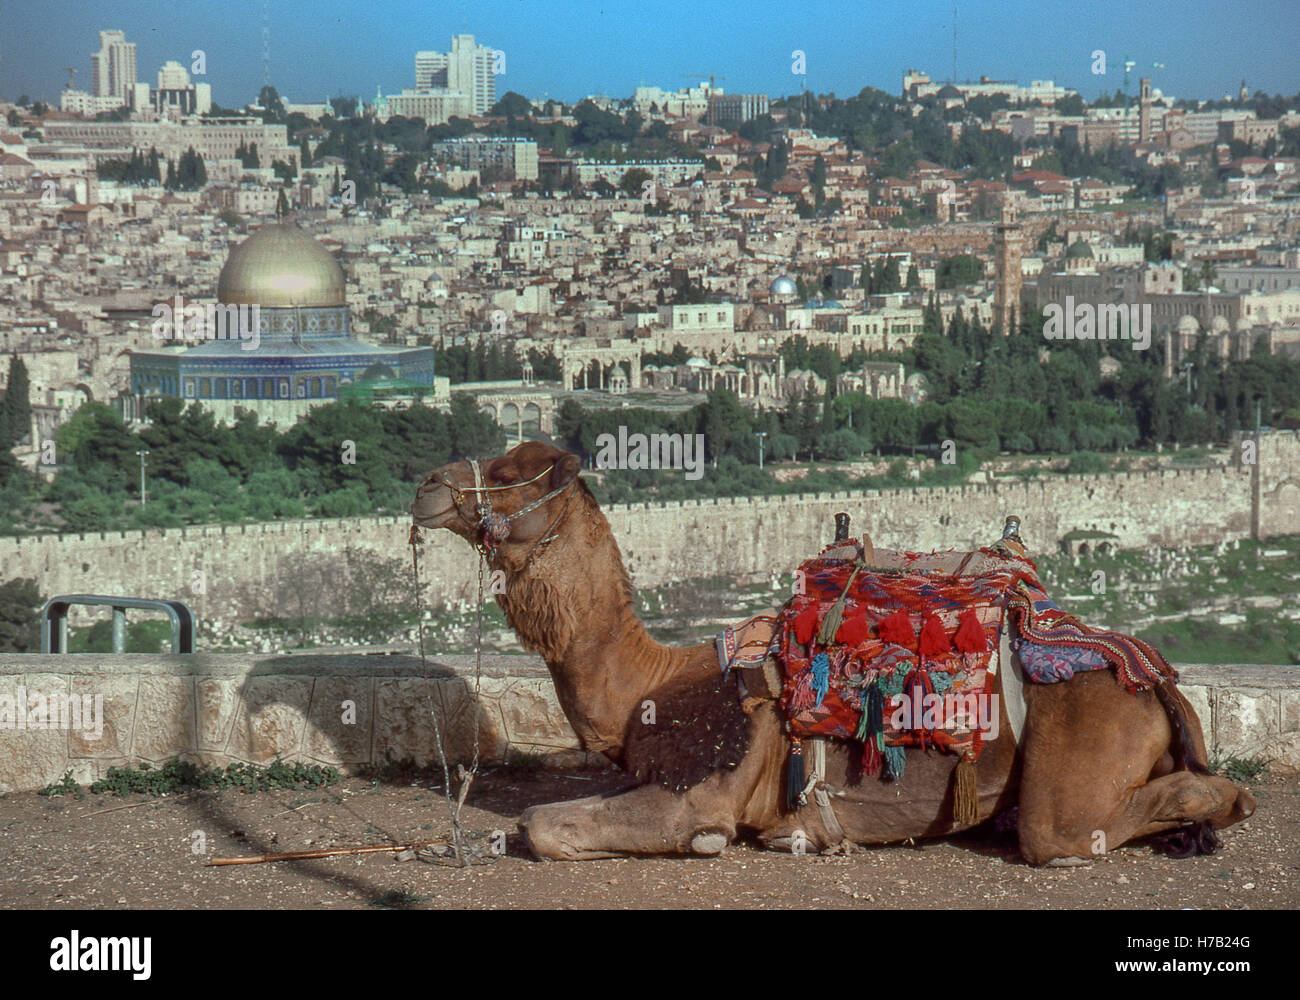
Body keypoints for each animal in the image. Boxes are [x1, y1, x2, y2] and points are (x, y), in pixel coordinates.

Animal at [410, 441, 1256, 864]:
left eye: (514, 475)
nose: (427, 485)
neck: (652, 687)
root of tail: (1152, 676)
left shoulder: (705, 784)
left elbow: (543, 824)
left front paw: (710, 844)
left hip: (1081, 742)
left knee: (1078, 831)